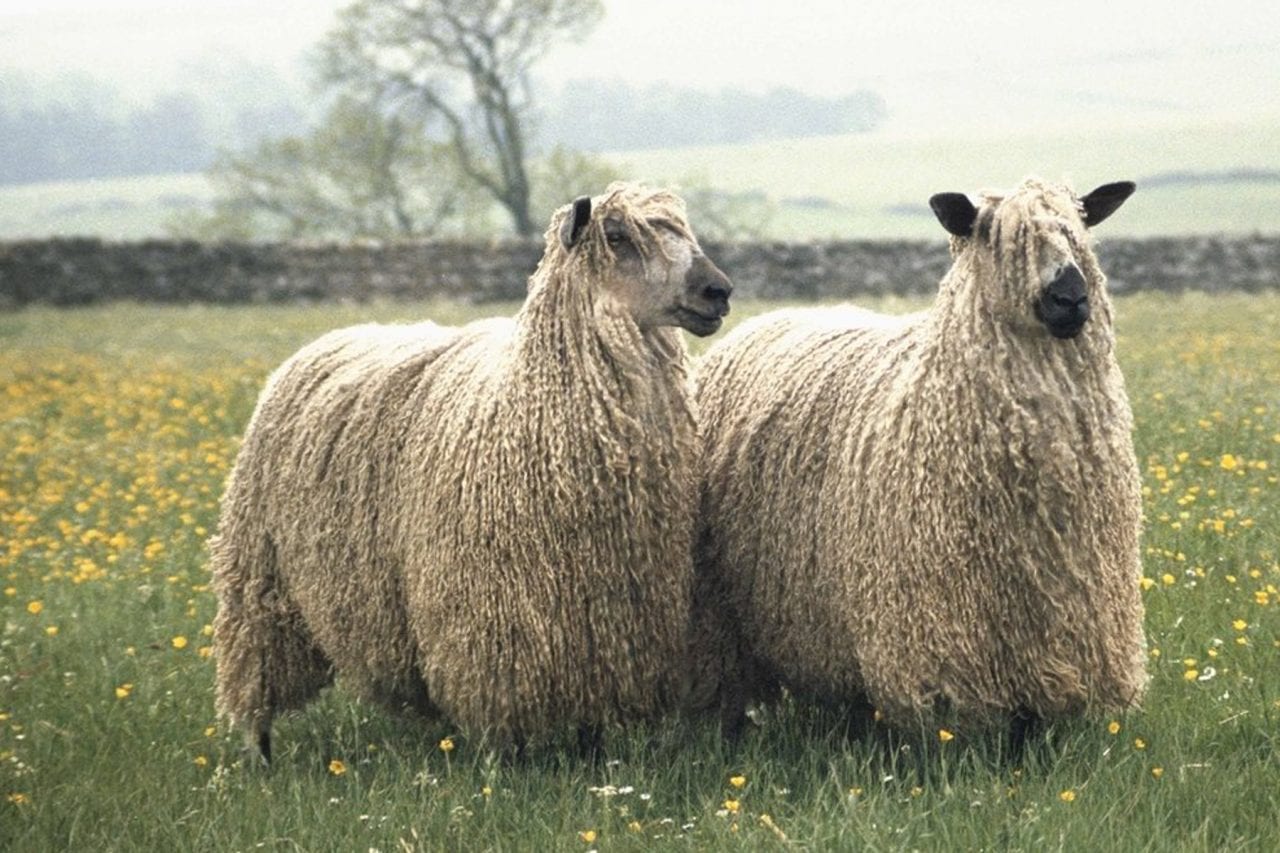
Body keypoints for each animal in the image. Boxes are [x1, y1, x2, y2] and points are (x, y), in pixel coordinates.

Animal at [210, 182, 733, 762]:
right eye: (617, 237)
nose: (719, 290)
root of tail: (328, 338)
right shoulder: (488, 621)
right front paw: (502, 766)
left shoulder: (602, 623)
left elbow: (590, 718)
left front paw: (593, 757)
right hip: (259, 575)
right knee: (255, 675)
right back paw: (260, 756)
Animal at [688, 178, 1146, 749]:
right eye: (992, 237)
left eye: (1078, 230)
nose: (1071, 298)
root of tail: (764, 321)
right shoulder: (934, 618)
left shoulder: (1060, 621)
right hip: (719, 606)